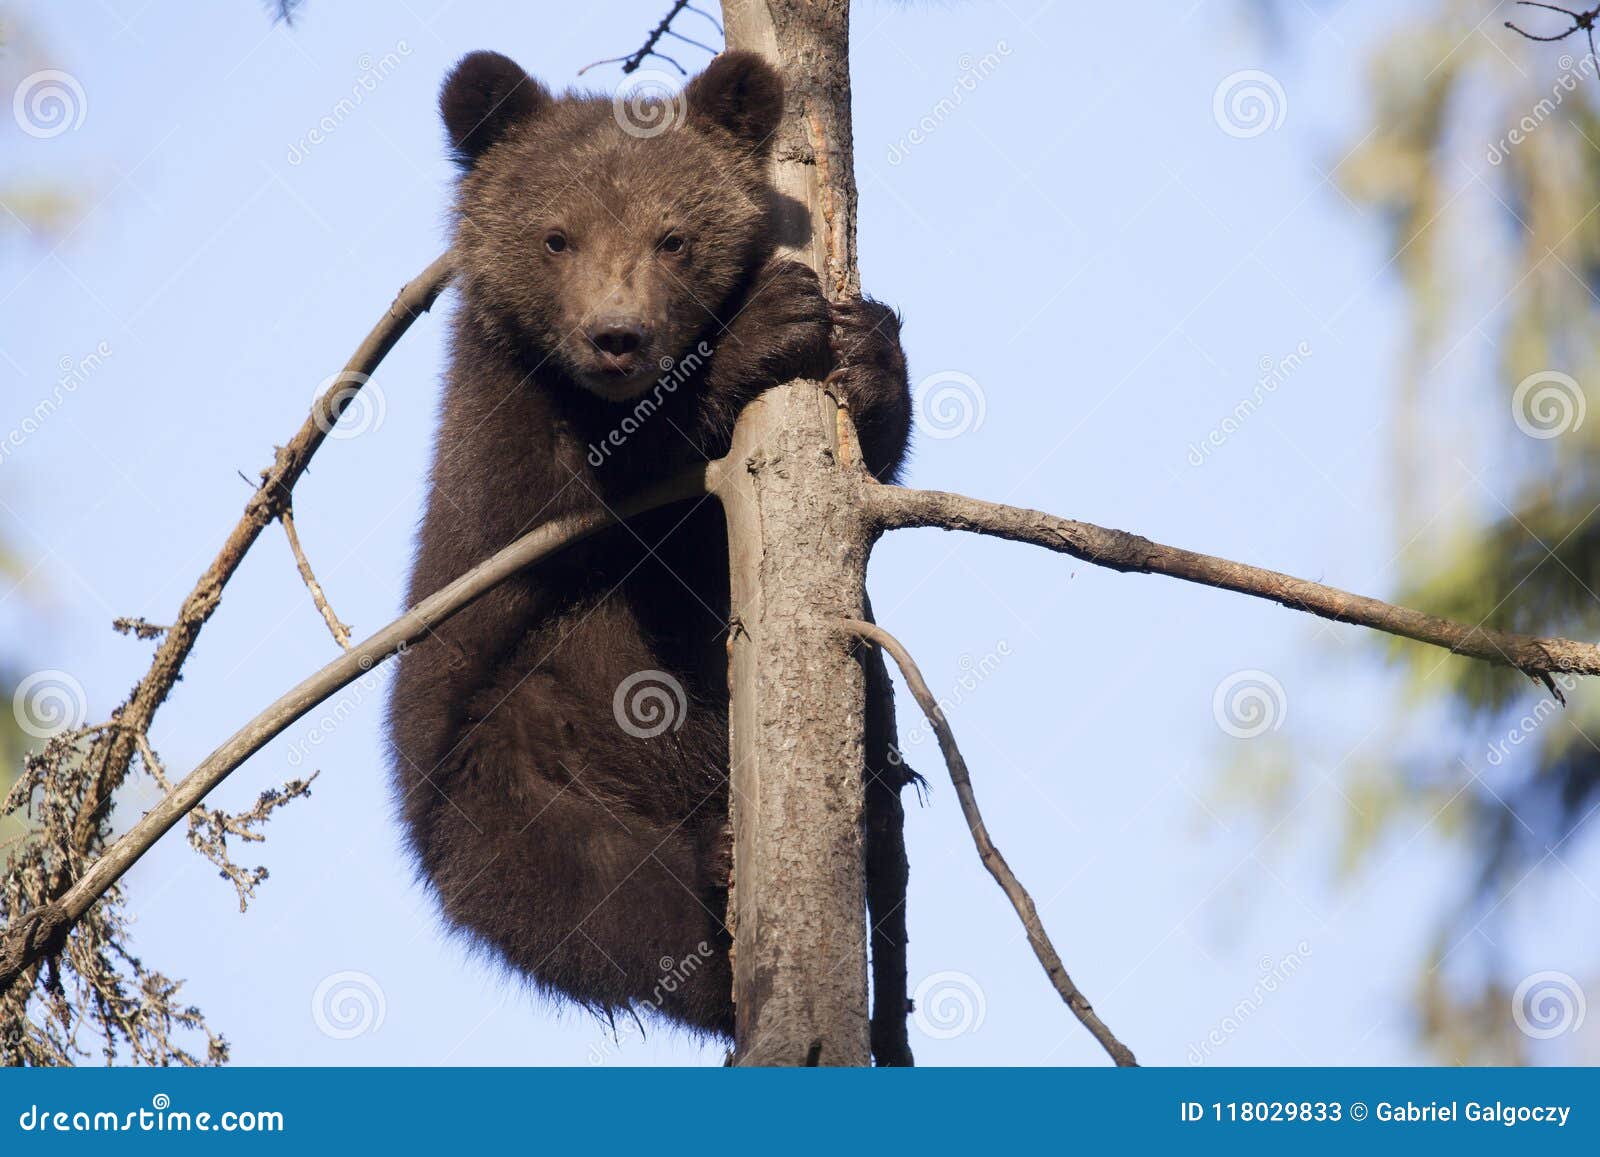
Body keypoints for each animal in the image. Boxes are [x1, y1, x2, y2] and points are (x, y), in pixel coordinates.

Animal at [386, 48, 912, 1045]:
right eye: (556, 237)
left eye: (675, 237)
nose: (616, 337)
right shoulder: (503, 449)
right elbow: (591, 492)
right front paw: (764, 331)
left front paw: (869, 348)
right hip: (495, 762)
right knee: (604, 890)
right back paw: (720, 885)